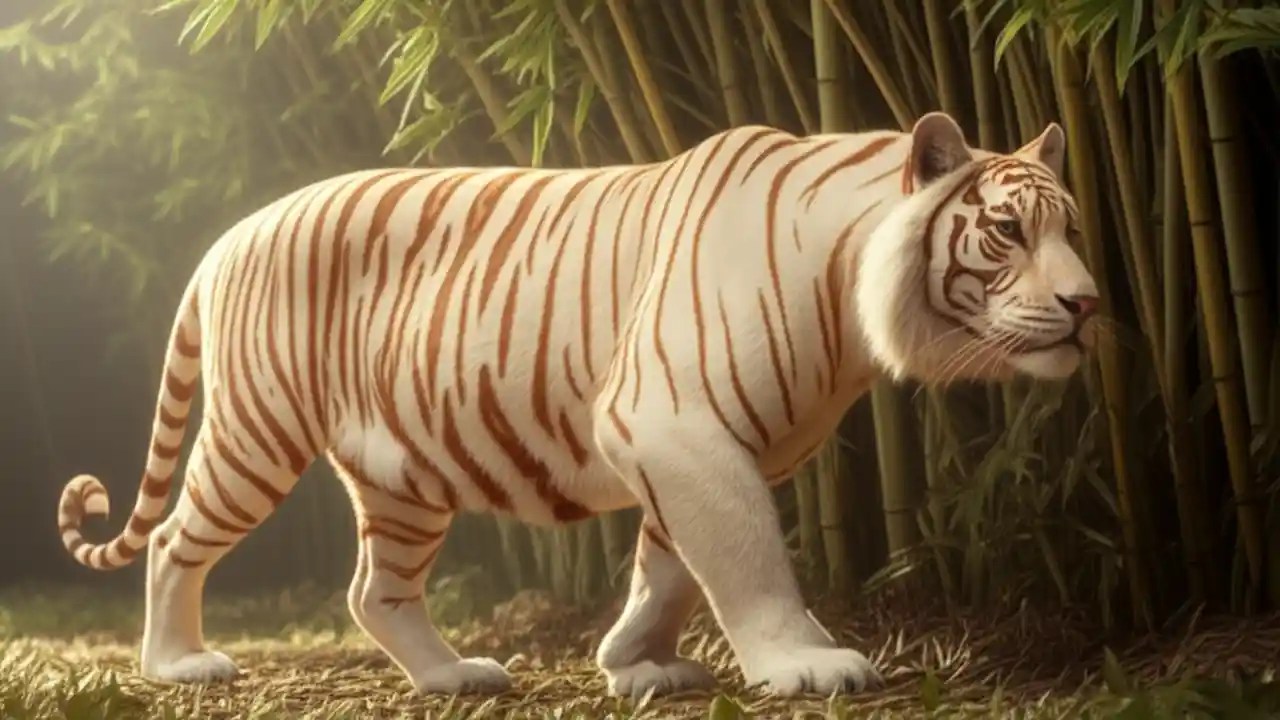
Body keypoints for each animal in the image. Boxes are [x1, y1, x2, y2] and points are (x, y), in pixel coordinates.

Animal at [56, 111, 1097, 699]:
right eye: (1007, 231)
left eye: (1074, 230)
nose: (1088, 304)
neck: (849, 296)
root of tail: (227, 237)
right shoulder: (675, 424)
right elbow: (745, 558)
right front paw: (803, 664)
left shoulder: (691, 447)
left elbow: (669, 568)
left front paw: (636, 662)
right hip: (257, 435)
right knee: (172, 538)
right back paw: (178, 664)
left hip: (401, 477)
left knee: (374, 589)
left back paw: (453, 676)